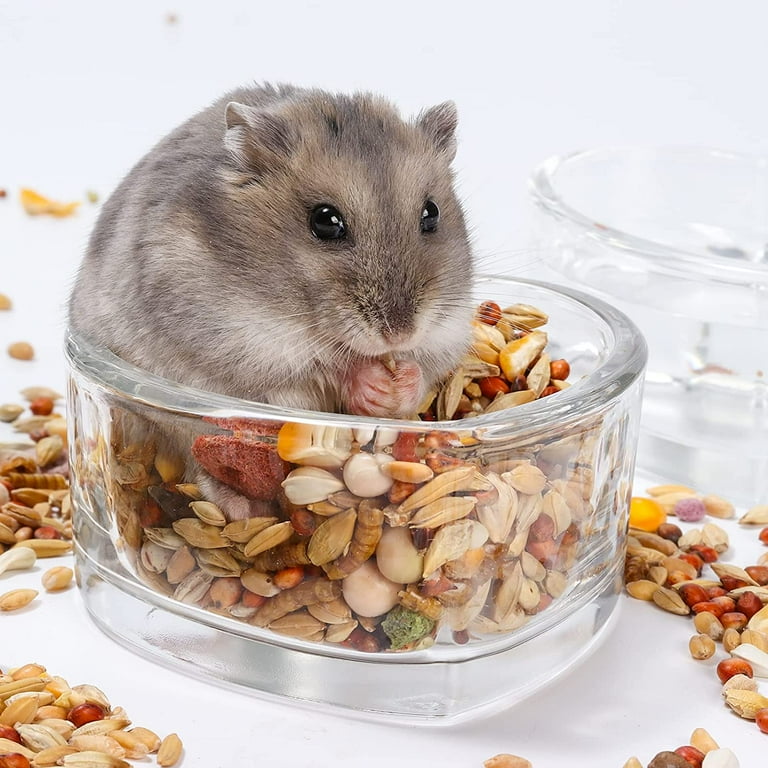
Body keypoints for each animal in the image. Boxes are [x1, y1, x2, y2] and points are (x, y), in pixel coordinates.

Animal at [69, 84, 475, 518]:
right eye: (325, 220)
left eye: (431, 213)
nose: (399, 335)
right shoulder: (246, 344)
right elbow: (321, 368)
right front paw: (370, 381)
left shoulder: (447, 331)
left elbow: (424, 373)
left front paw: (400, 383)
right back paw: (244, 510)